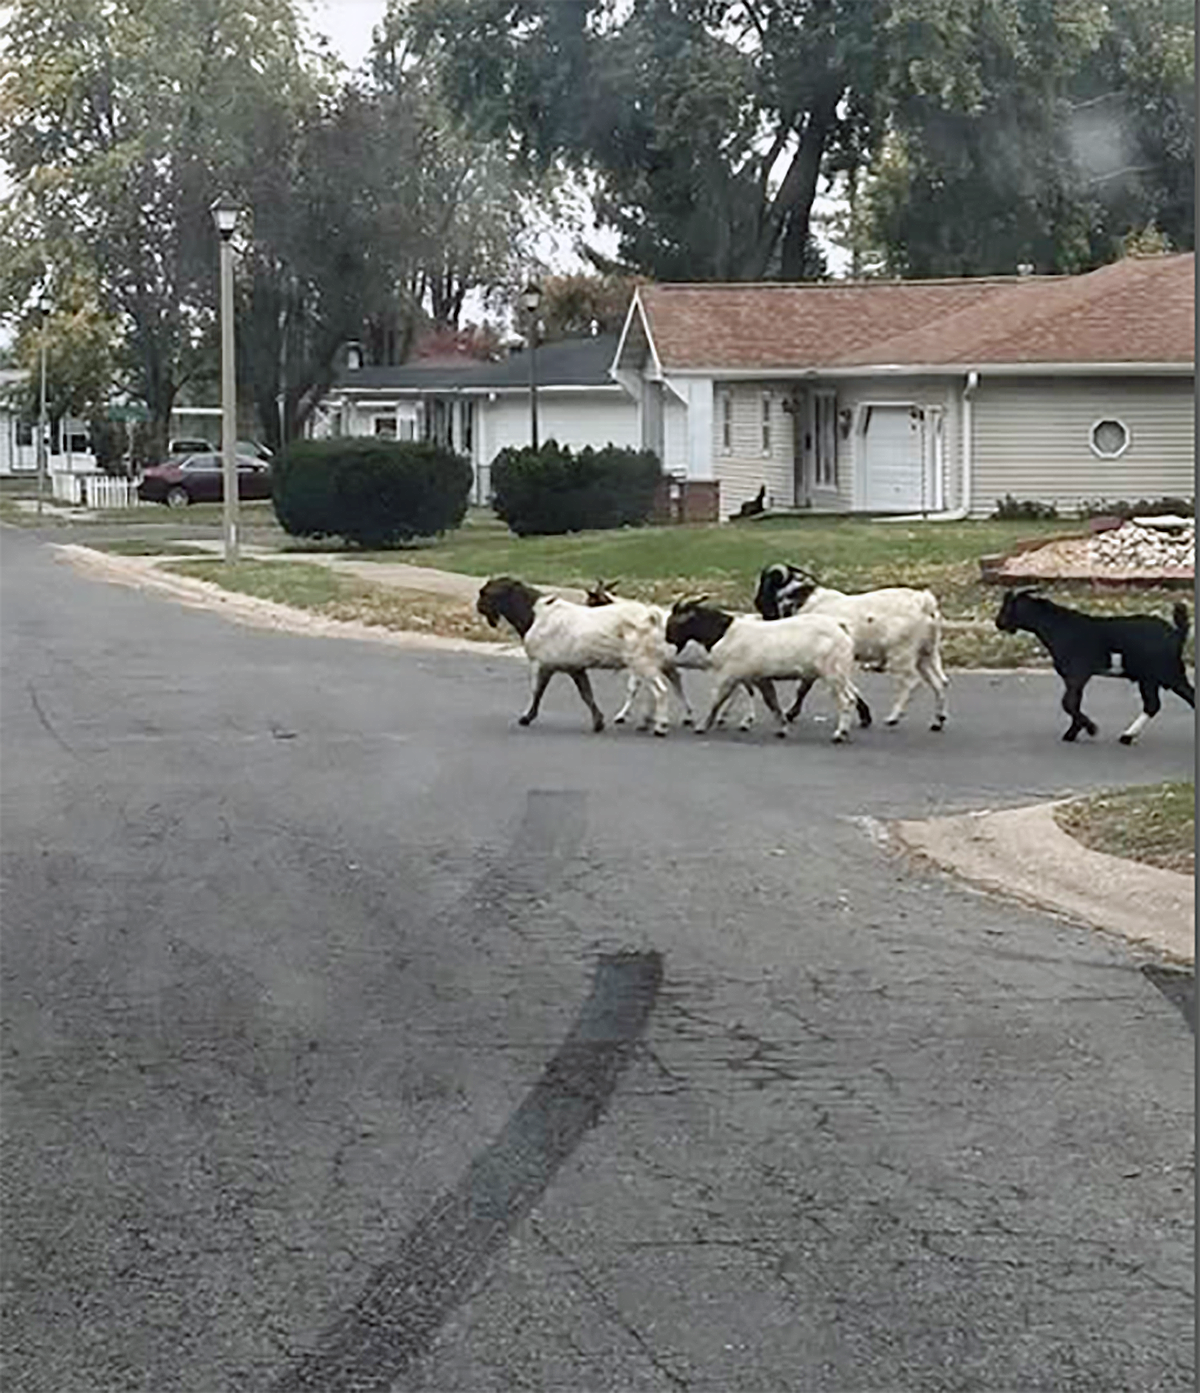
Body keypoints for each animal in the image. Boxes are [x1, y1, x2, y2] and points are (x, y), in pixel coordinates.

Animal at [476, 576, 673, 734]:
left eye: (484, 593)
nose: (478, 606)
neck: (536, 615)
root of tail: (653, 616)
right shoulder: (574, 667)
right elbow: (586, 693)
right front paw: (598, 721)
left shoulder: (542, 663)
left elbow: (537, 691)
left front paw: (526, 717)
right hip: (648, 664)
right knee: (652, 691)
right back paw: (648, 722)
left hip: (641, 662)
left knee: (660, 690)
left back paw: (661, 726)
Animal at [664, 597, 869, 743]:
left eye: (675, 621)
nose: (667, 638)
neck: (723, 633)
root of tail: (840, 627)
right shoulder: (760, 678)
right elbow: (772, 702)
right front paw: (782, 728)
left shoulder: (728, 675)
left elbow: (716, 700)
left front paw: (702, 726)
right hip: (841, 672)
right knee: (852, 695)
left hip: (831, 672)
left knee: (846, 700)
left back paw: (840, 734)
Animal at [755, 563, 949, 731]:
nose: (757, 602)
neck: (806, 600)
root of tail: (925, 603)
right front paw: (864, 716)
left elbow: (804, 687)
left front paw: (790, 713)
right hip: (926, 653)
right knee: (940, 682)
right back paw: (937, 721)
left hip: (901, 653)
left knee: (910, 682)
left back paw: (894, 717)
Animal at [994, 589, 1195, 744]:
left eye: (1008, 606)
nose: (998, 623)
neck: (1057, 626)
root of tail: (1177, 634)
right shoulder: (1074, 677)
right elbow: (1073, 702)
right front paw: (1072, 733)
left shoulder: (1077, 673)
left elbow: (1067, 702)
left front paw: (1090, 729)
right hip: (1151, 677)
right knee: (1153, 705)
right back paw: (1127, 736)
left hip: (1168, 672)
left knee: (1184, 697)